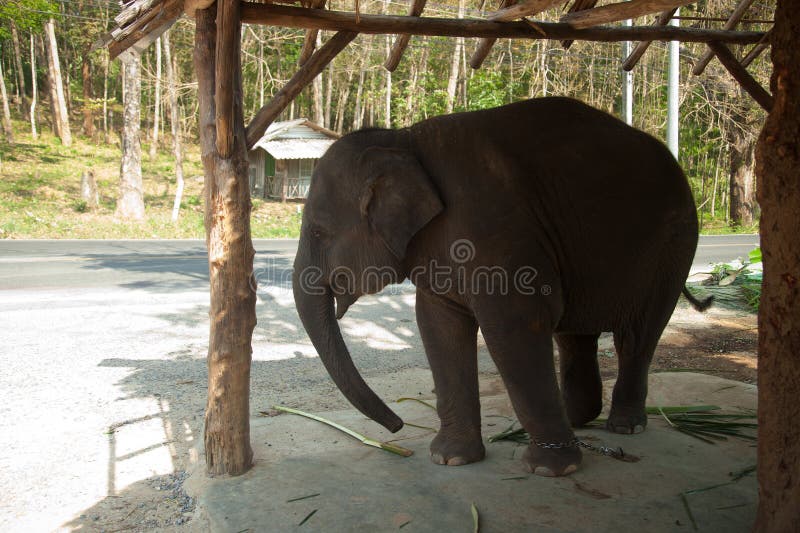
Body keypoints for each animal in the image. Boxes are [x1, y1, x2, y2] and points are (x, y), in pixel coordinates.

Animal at [292, 96, 710, 477]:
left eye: (318, 231)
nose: (396, 427)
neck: (402, 139)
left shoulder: (496, 231)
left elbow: (514, 326)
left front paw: (552, 469)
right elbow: (439, 327)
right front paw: (450, 459)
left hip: (673, 245)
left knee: (637, 335)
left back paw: (624, 426)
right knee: (576, 335)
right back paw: (578, 419)